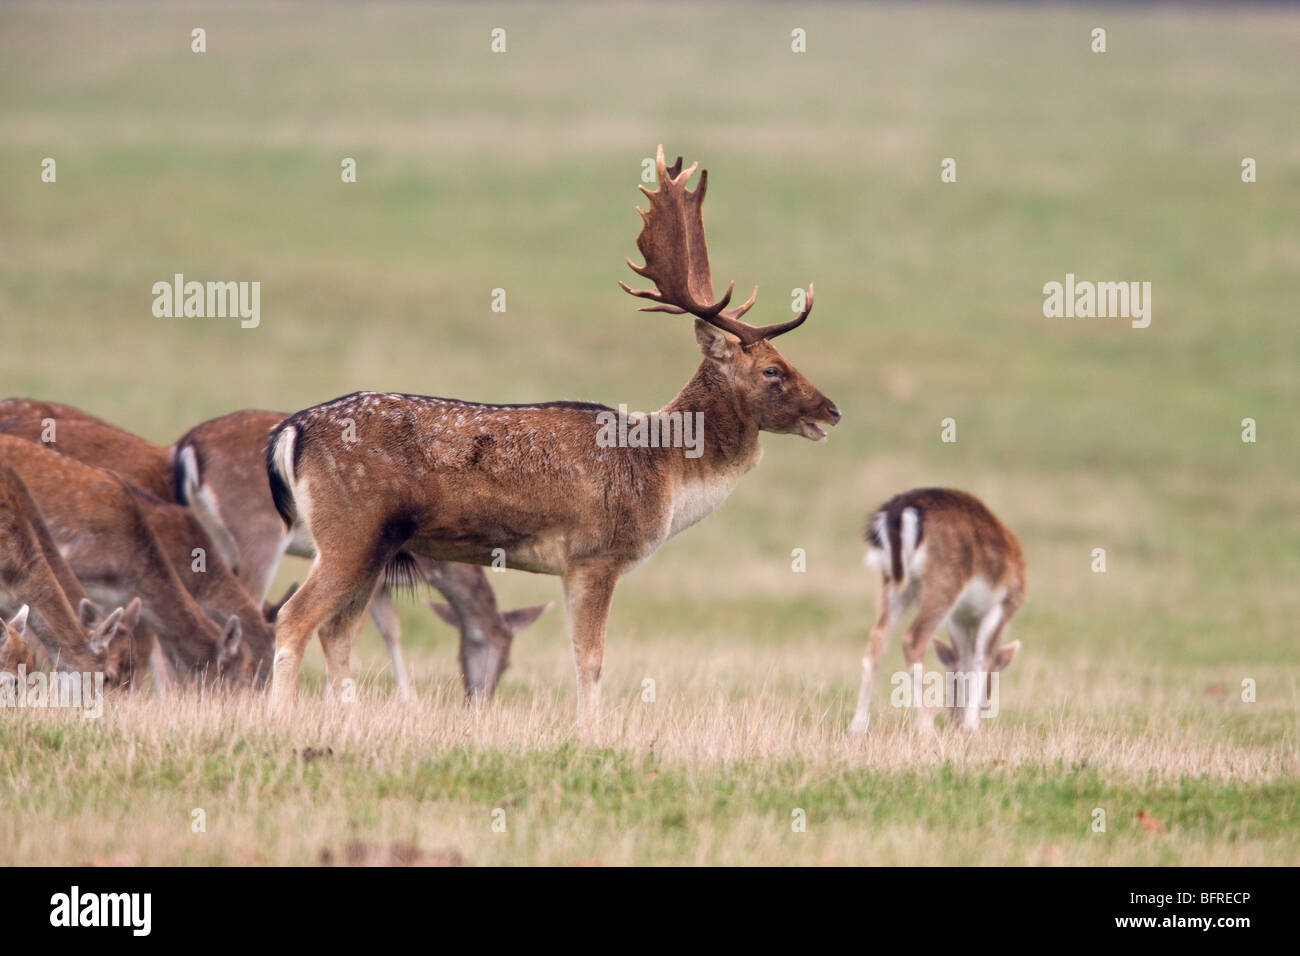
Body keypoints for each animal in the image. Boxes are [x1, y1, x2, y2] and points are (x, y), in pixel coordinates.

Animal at [172, 408, 550, 698]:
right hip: (259, 533)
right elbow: (359, 629)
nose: (479, 700)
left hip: (214, 538)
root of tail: (188, 446)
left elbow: (389, 628)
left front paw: (403, 699)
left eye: (508, 662)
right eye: (483, 644)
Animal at [264, 145, 841, 724]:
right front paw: (591, 729)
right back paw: (281, 717)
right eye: (772, 370)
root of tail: (292, 430)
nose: (833, 410)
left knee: (337, 632)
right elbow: (591, 657)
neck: (665, 468)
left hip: (374, 546)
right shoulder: (596, 554)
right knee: (293, 618)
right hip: (350, 532)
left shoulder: (570, 566)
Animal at [850, 488, 1026, 734]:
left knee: (877, 639)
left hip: (893, 582)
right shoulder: (1002, 605)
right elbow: (981, 659)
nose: (953, 719)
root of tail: (899, 510)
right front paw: (971, 727)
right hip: (943, 581)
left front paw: (963, 724)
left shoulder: (958, 618)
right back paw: (926, 727)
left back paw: (857, 726)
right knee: (913, 639)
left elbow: (965, 662)